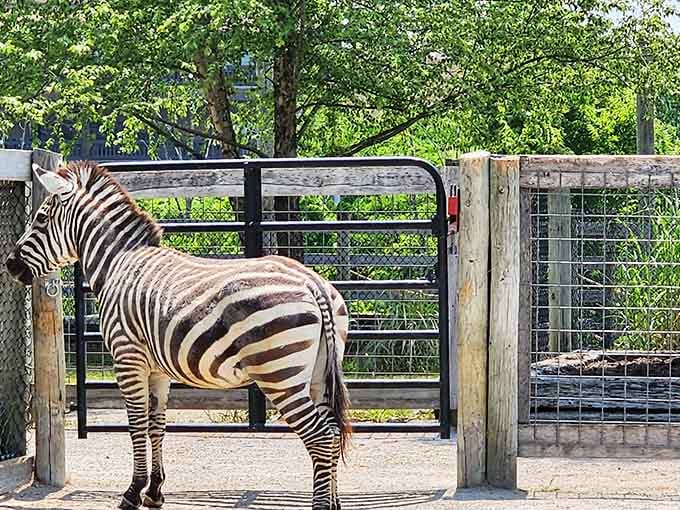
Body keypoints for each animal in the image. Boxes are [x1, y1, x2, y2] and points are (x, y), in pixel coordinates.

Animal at [5, 161, 352, 510]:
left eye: (40, 218)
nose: (9, 265)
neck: (118, 263)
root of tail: (312, 283)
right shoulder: (157, 369)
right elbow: (156, 426)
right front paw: (154, 492)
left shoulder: (127, 357)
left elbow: (136, 425)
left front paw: (132, 493)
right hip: (319, 373)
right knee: (333, 431)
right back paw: (333, 501)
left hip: (279, 373)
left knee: (320, 436)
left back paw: (321, 504)